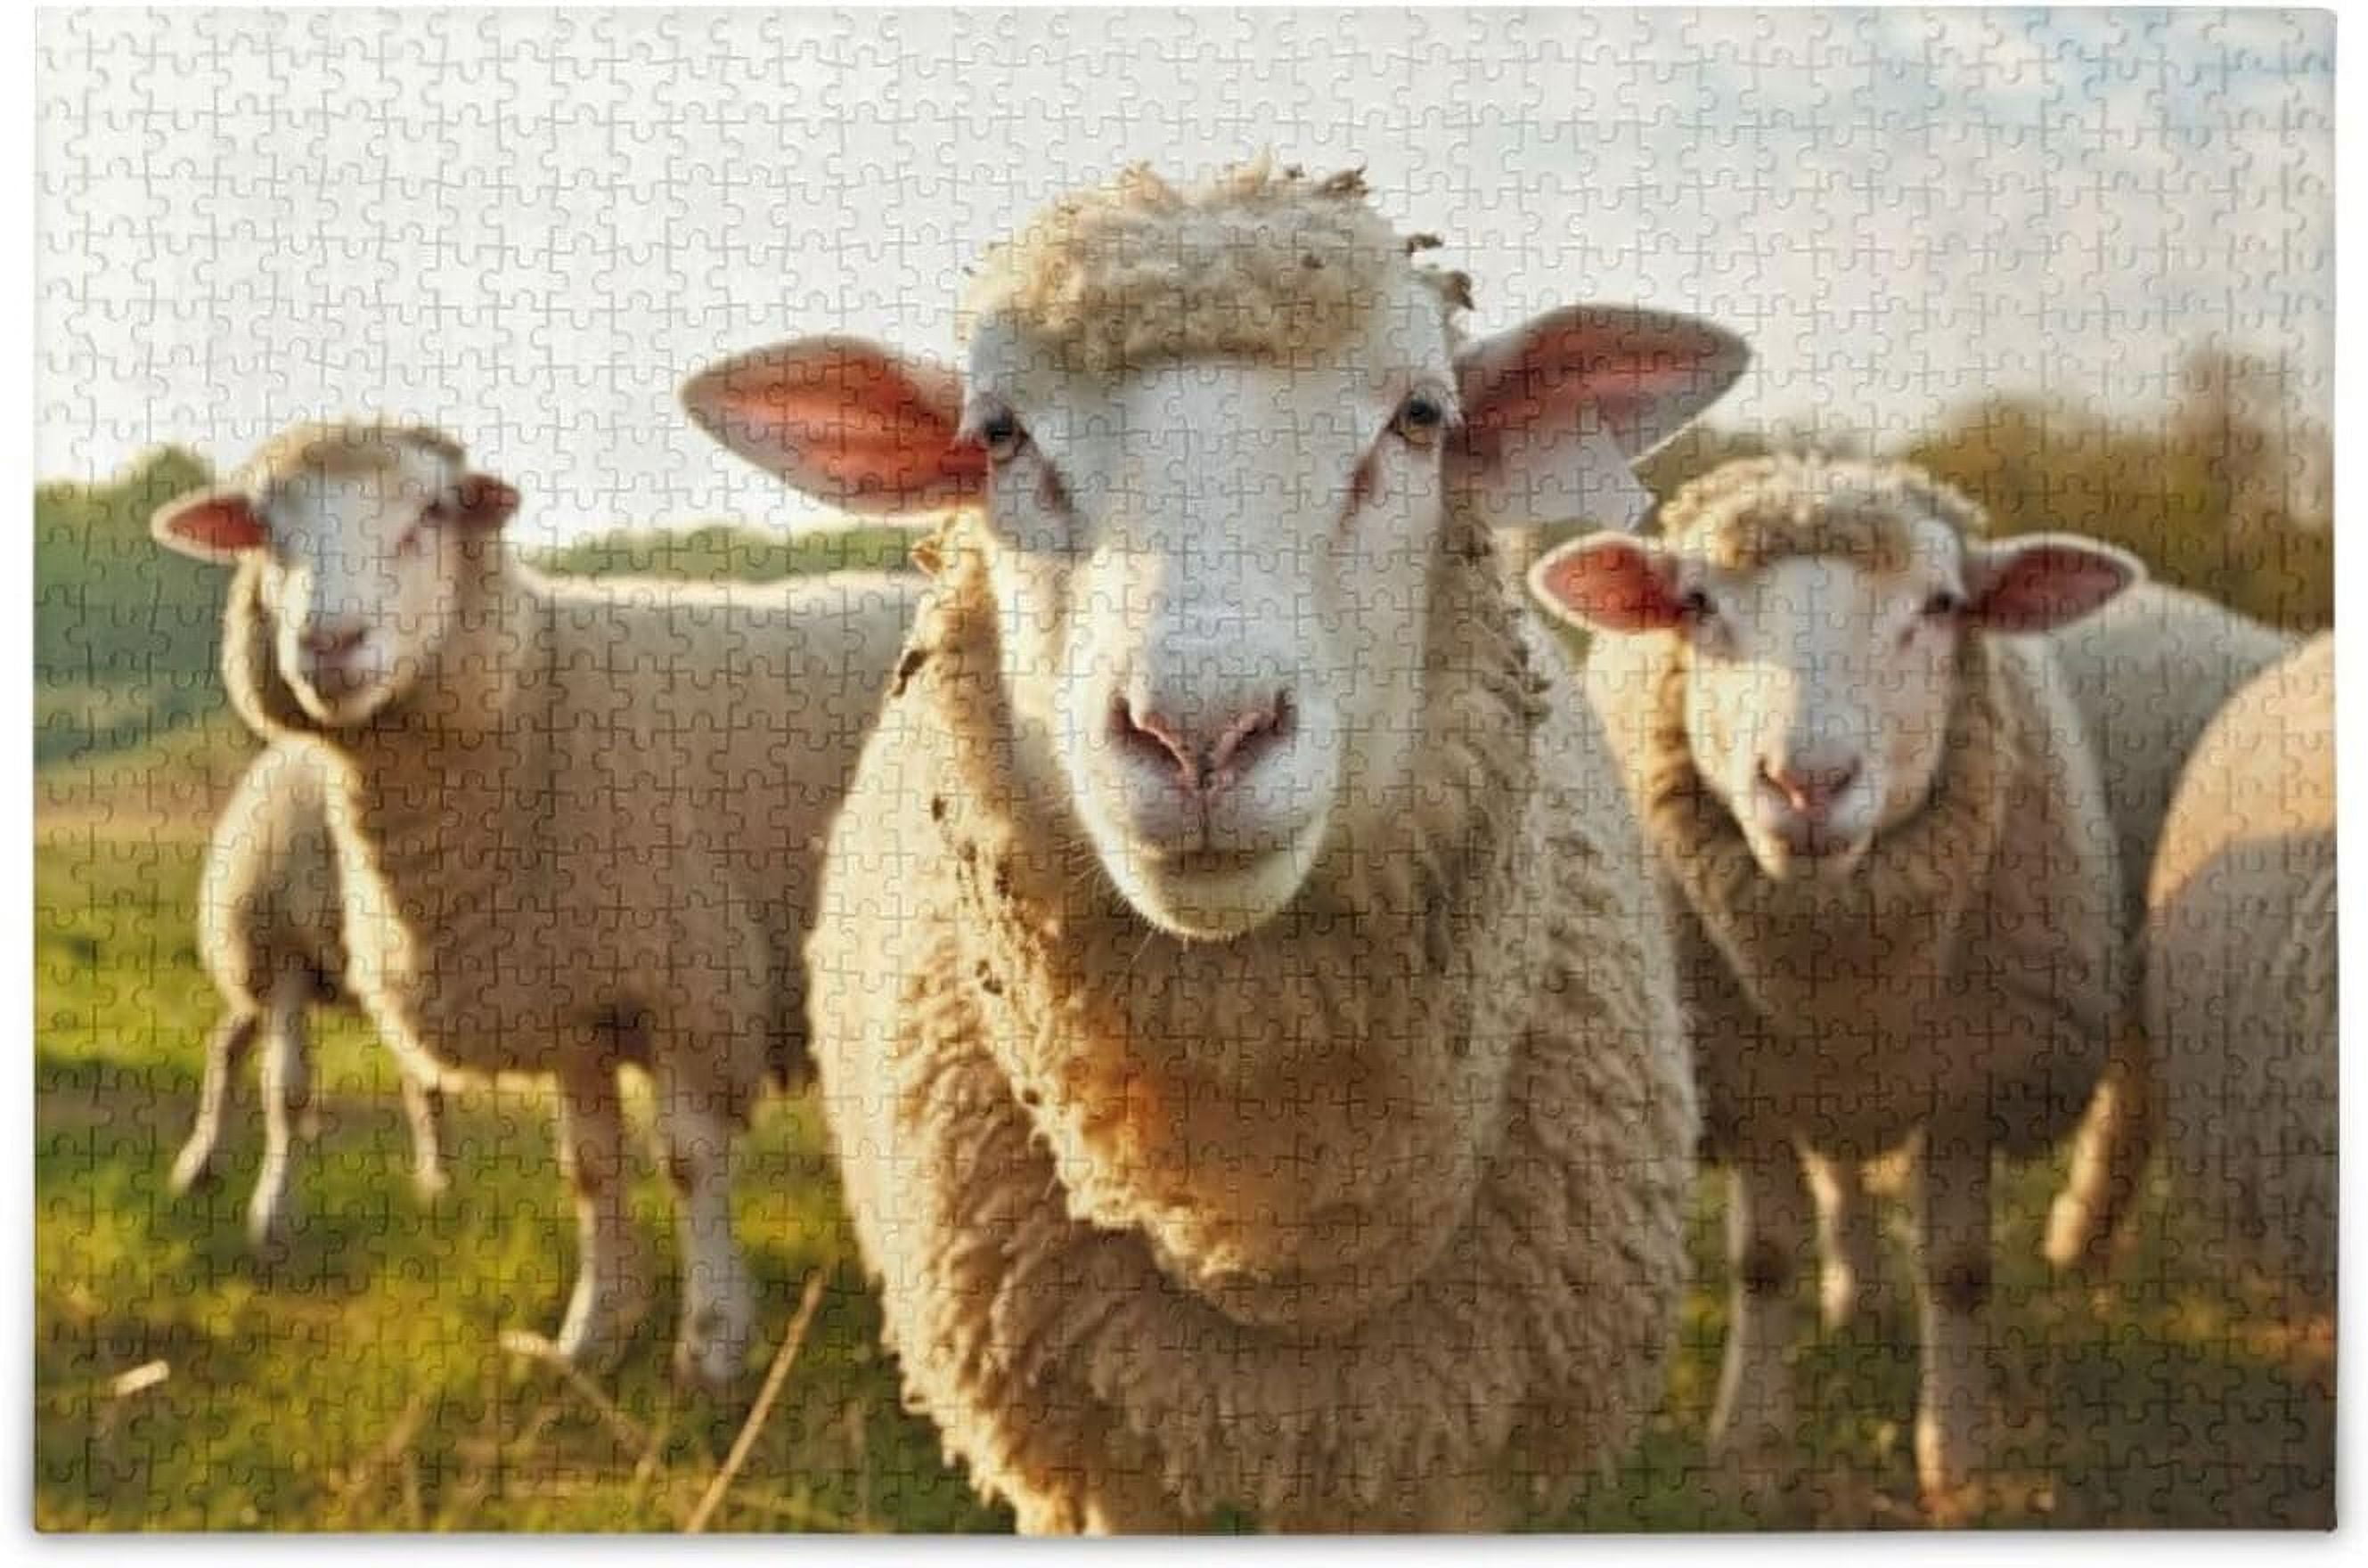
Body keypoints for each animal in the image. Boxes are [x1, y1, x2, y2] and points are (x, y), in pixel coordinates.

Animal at [169, 737, 448, 1247]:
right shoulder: (287, 963)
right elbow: (287, 1091)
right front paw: (274, 1212)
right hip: (257, 970)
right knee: (227, 1046)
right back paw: (197, 1165)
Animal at [680, 158, 1748, 1532]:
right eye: (998, 436)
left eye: (1420, 418)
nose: (1201, 735)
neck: (1261, 1228)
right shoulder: (1099, 1460)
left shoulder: (1446, 1452)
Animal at [1533, 455, 2141, 1516]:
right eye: (1696, 604)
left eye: (1942, 605)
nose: (1807, 785)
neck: (1844, 983)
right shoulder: (1745, 1086)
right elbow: (1763, 1259)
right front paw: (1749, 1443)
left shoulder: (1970, 1088)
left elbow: (1959, 1270)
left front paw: (1957, 1459)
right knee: (1840, 1181)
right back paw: (1852, 1291)